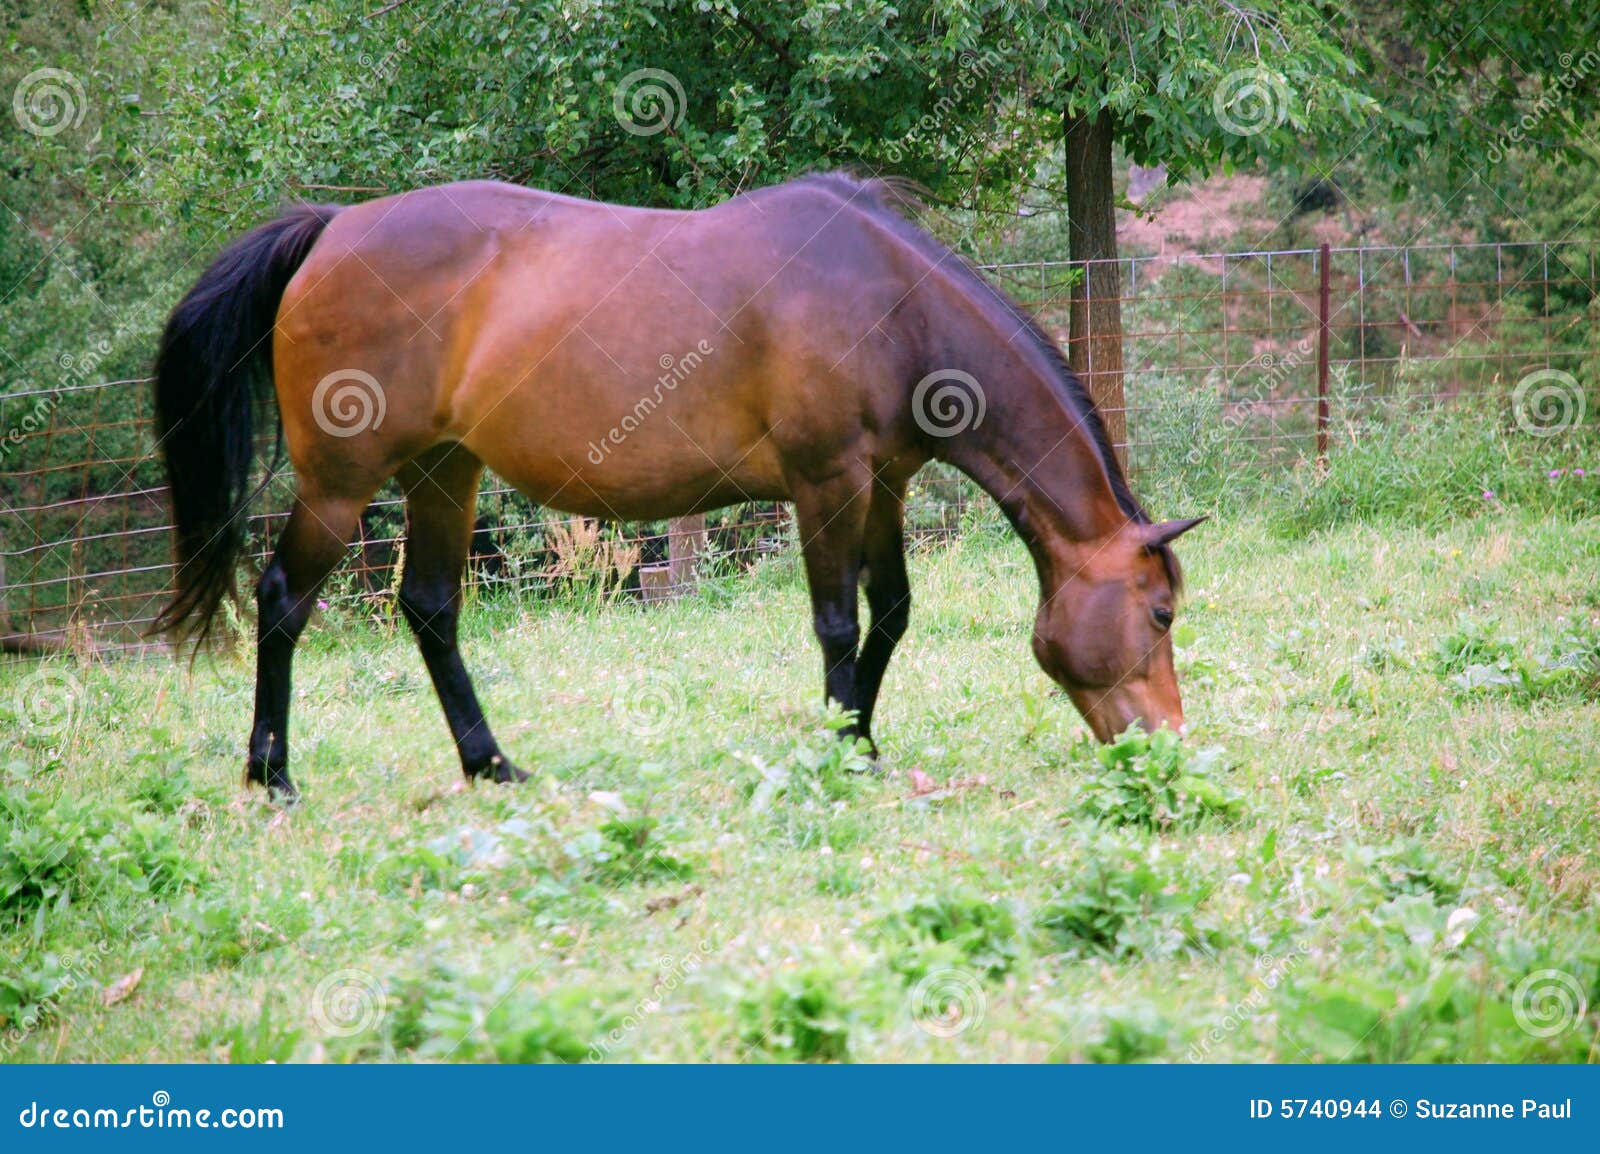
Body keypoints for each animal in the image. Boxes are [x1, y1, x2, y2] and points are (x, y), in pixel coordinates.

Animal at [152, 172, 1203, 799]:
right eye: (1159, 615)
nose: (1170, 742)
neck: (889, 307)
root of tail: (330, 230)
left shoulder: (884, 485)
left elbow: (892, 613)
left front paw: (860, 739)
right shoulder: (826, 482)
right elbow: (838, 623)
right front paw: (837, 750)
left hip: (445, 472)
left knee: (430, 608)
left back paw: (490, 764)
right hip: (341, 488)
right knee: (283, 601)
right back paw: (272, 775)